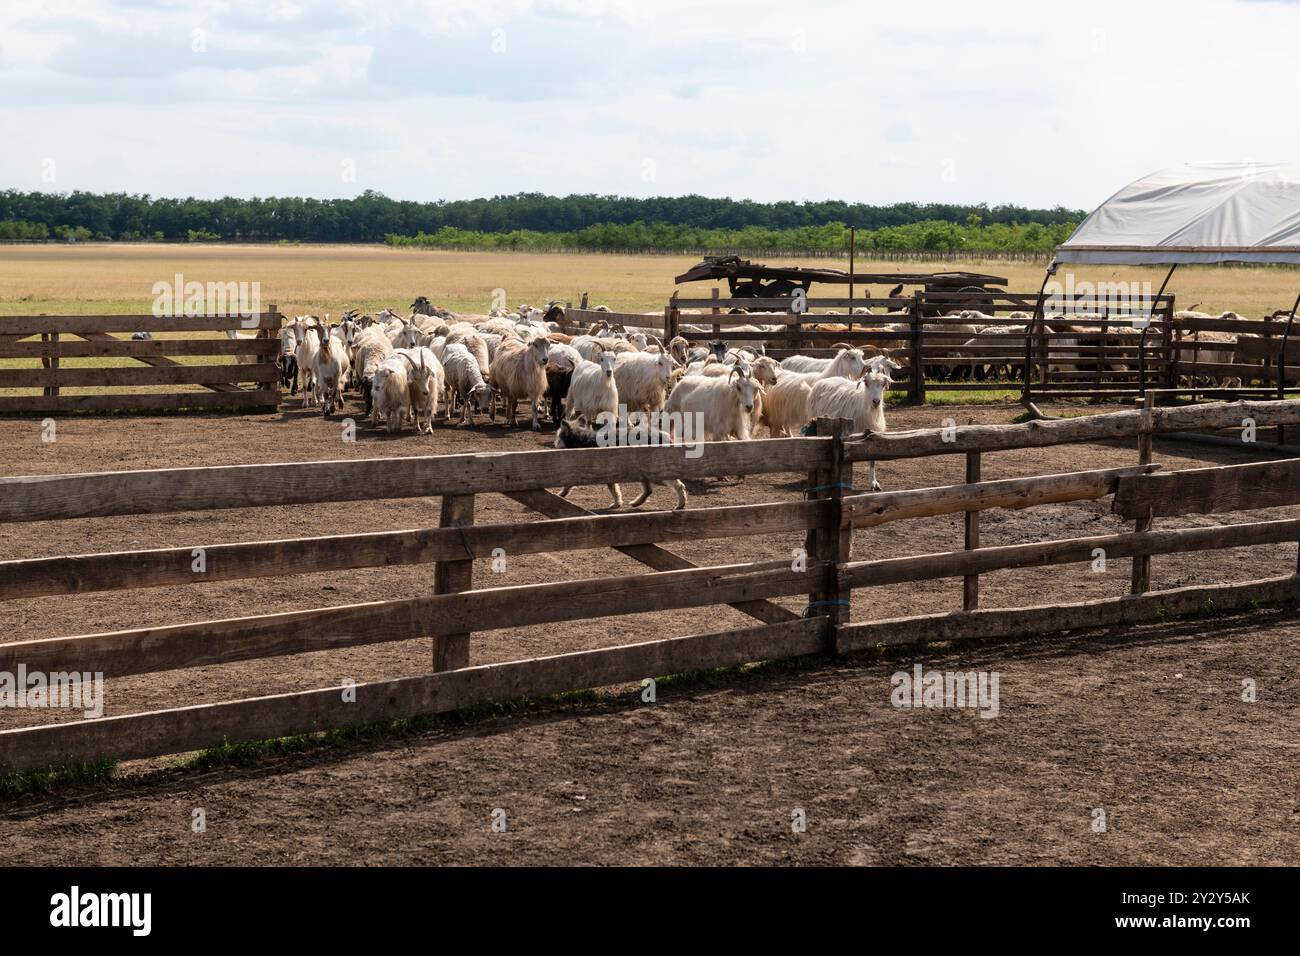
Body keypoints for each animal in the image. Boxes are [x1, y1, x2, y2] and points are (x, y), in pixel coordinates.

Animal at [553, 413, 687, 510]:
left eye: (558, 437)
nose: (554, 444)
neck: (581, 440)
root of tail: (664, 436)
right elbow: (614, 488)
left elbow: (612, 489)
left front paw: (561, 494)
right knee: (648, 490)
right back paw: (636, 502)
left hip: (656, 468)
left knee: (678, 485)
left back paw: (681, 504)